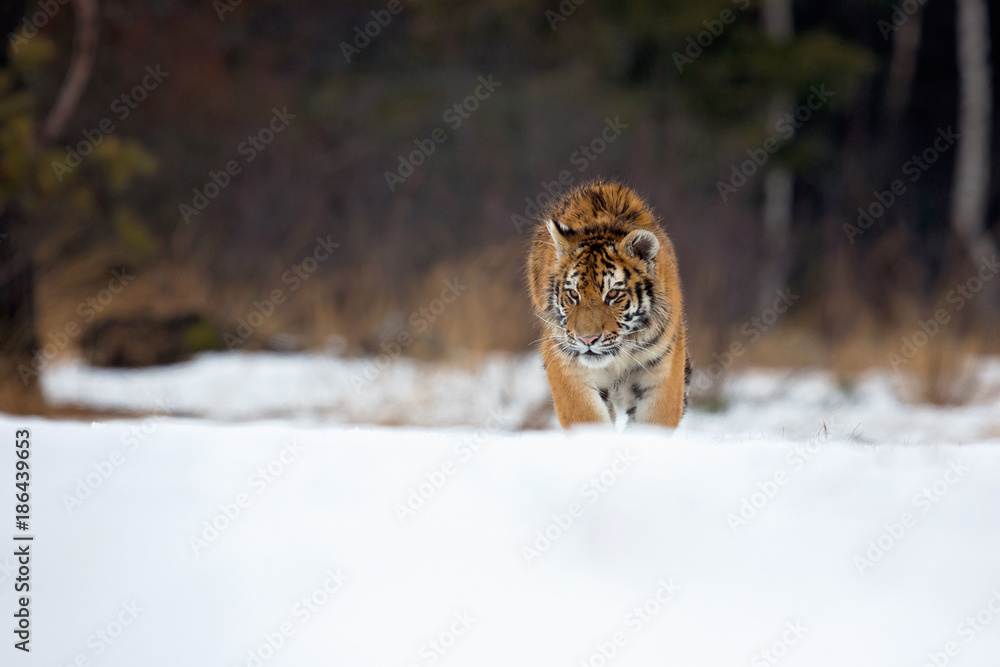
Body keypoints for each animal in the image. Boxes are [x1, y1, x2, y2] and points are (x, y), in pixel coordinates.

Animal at [527, 179, 690, 429]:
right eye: (573, 294)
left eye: (612, 294)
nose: (587, 340)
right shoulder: (566, 360)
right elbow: (586, 416)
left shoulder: (662, 364)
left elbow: (655, 420)